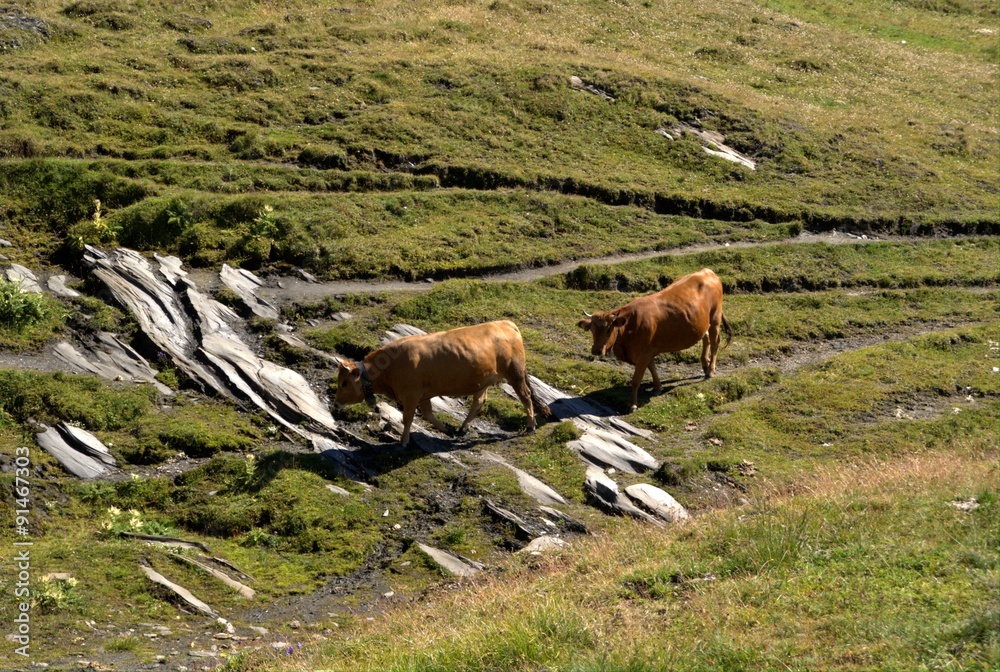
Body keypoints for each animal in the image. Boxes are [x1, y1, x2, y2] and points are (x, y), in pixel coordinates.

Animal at [335, 320, 545, 446]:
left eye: (344, 383)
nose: (336, 402)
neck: (388, 369)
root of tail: (504, 323)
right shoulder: (422, 395)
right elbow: (428, 415)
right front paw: (447, 429)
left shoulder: (411, 395)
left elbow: (408, 418)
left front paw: (403, 442)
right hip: (484, 379)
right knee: (478, 401)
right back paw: (463, 428)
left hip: (515, 373)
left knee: (525, 396)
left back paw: (531, 425)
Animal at [578, 268, 732, 413]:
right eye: (592, 330)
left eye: (608, 330)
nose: (596, 350)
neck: (629, 326)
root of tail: (707, 271)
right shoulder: (648, 351)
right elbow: (652, 367)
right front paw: (657, 386)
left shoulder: (643, 354)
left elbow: (636, 380)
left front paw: (632, 405)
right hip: (702, 323)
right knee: (705, 338)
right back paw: (705, 365)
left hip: (715, 318)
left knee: (714, 342)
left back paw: (710, 370)